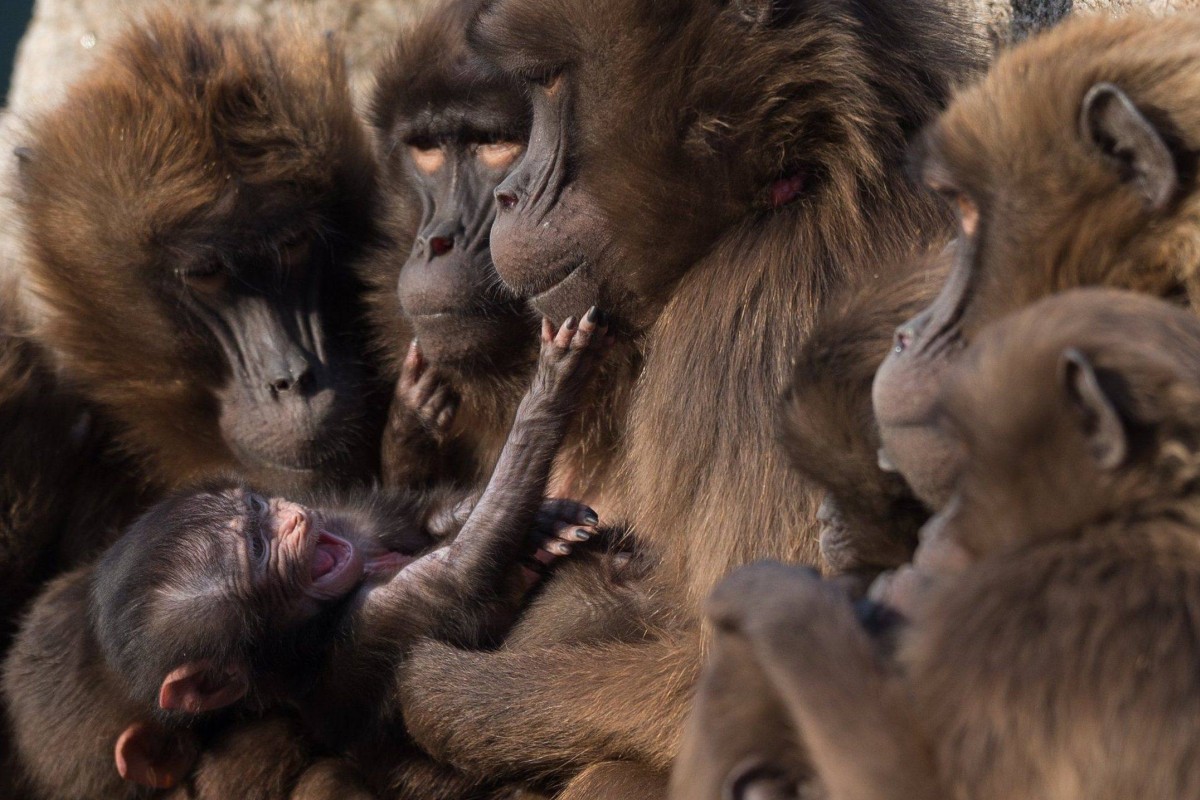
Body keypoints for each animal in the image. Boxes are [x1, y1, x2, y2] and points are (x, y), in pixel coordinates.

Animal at [80, 312, 609, 800]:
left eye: (255, 507)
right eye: (256, 549)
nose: (292, 514)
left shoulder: (348, 520)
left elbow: (415, 514)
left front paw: (544, 519)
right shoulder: (368, 631)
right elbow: (462, 568)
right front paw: (547, 395)